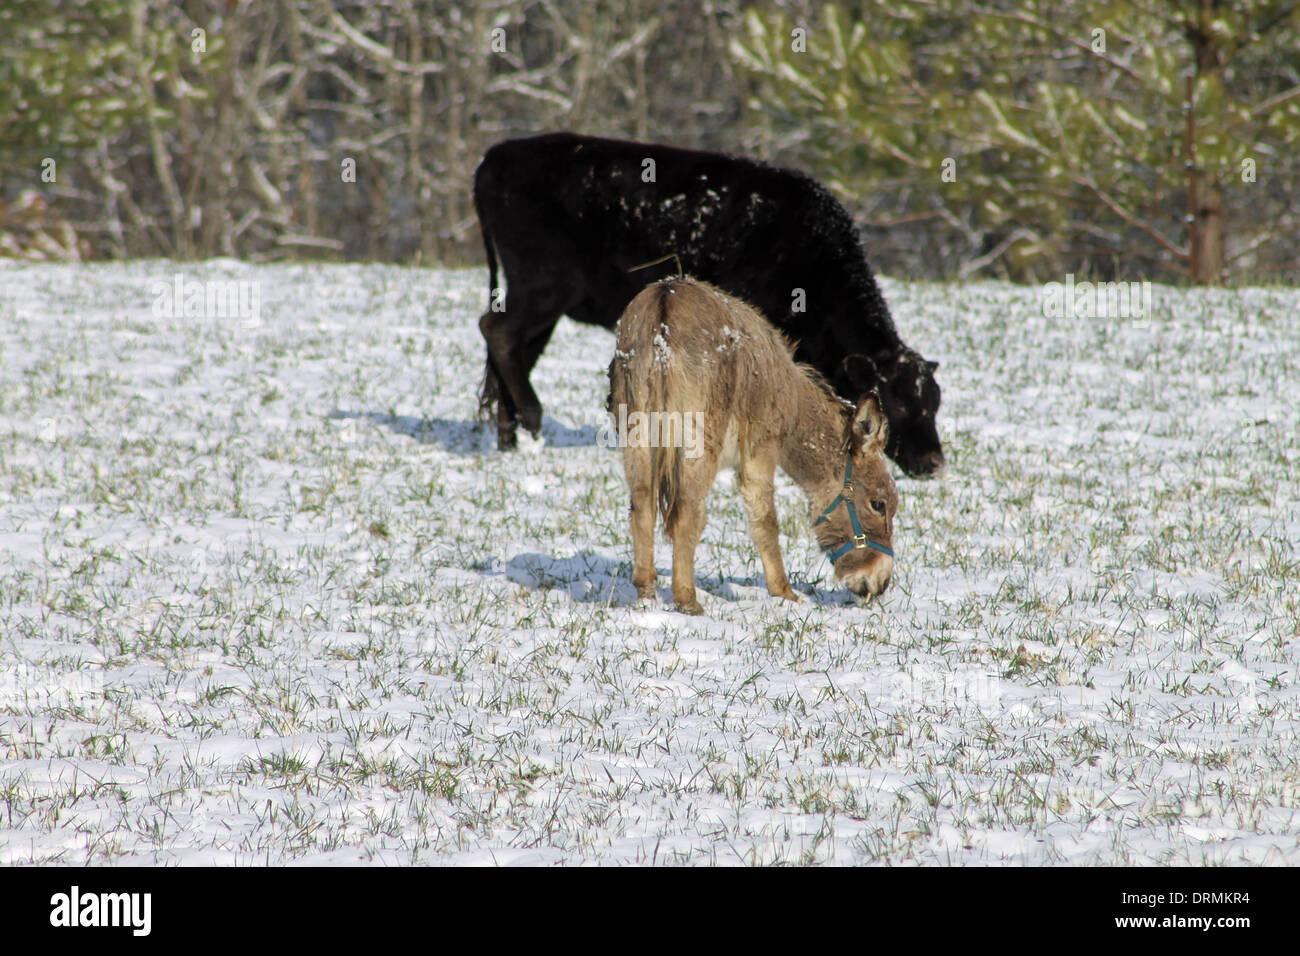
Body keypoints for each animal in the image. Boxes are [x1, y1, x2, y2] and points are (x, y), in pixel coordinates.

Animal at [473, 131, 944, 477]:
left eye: (935, 401)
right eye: (900, 402)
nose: (934, 463)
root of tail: (496, 156)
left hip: (541, 305)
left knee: (512, 351)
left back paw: (510, 438)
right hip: (542, 290)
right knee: (498, 332)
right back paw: (532, 420)